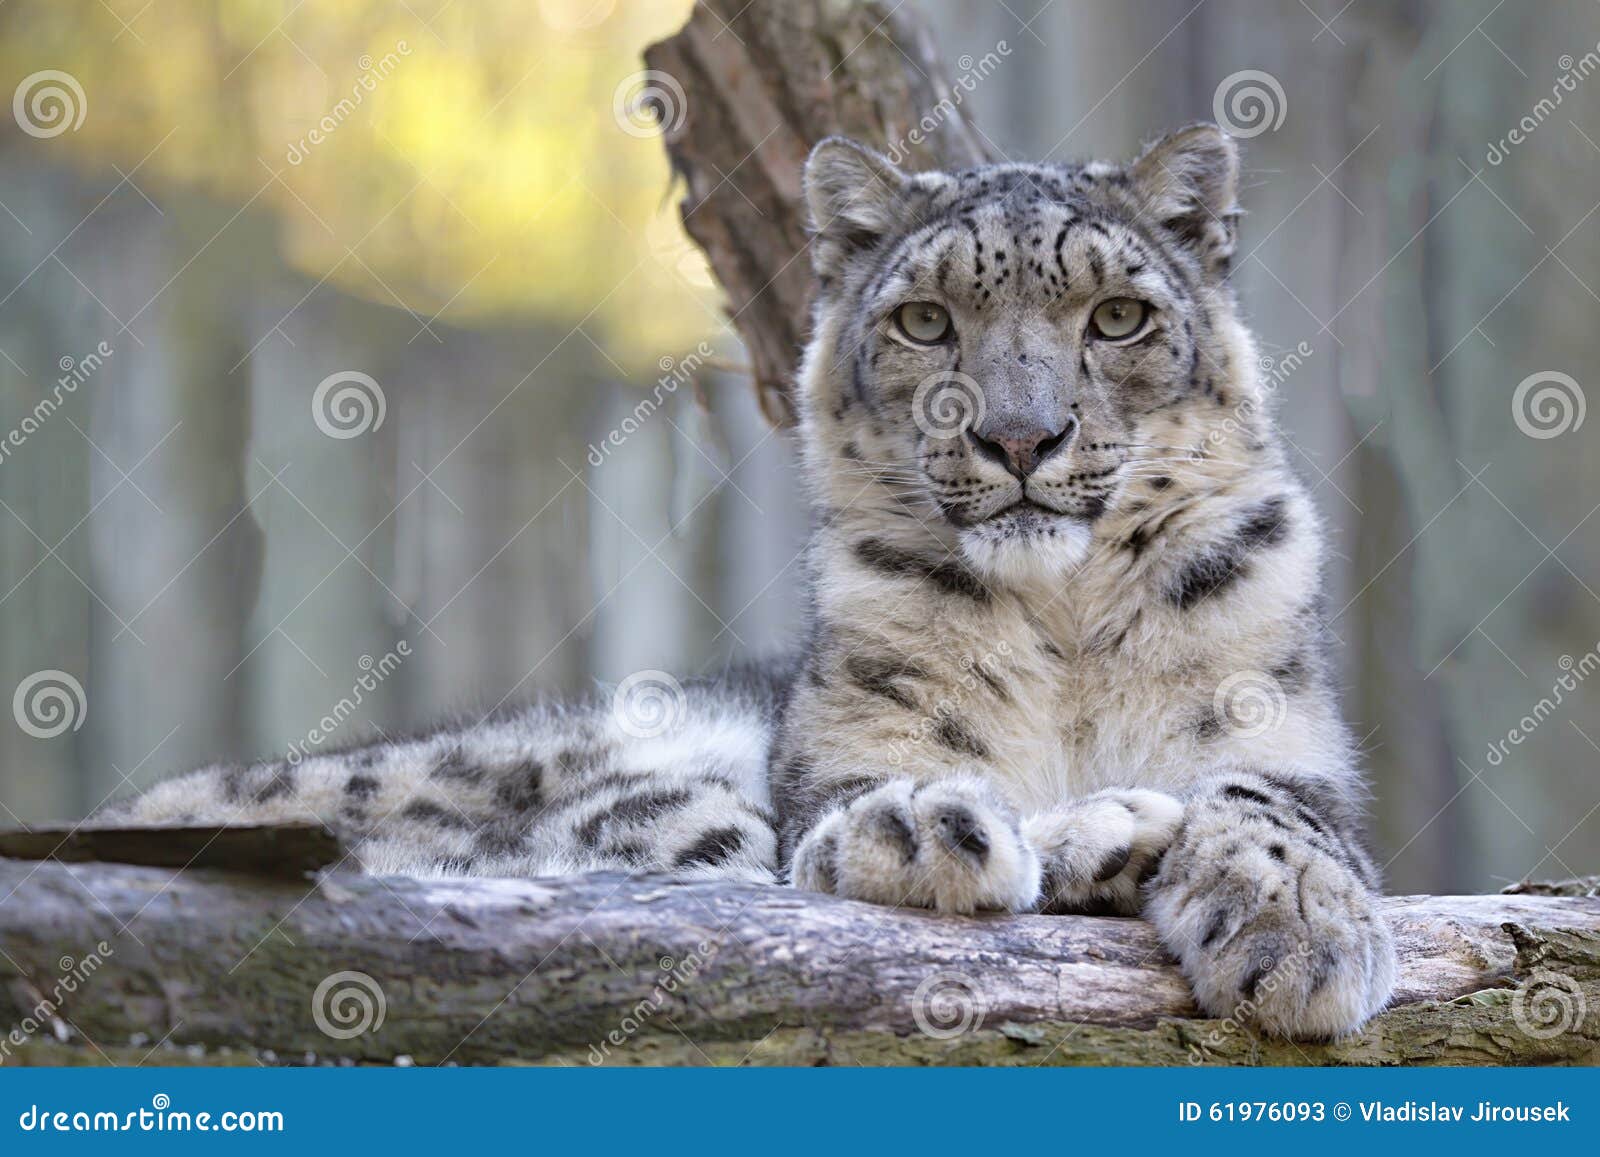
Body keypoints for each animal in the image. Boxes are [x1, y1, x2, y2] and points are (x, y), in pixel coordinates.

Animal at [93, 123, 1396, 1040]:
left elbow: (1271, 804)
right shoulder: (848, 747)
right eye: (926, 320)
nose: (1019, 437)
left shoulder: (1281, 733)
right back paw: (998, 827)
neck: (1062, 626)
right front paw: (930, 821)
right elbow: (813, 842)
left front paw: (1296, 930)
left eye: (1118, 313)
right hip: (644, 777)